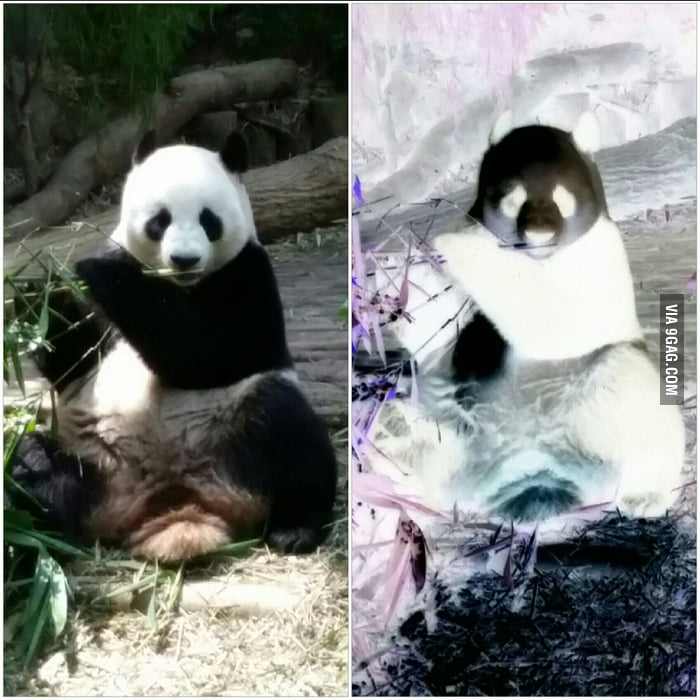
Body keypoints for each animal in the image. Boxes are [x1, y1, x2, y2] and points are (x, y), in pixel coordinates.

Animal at [11, 130, 338, 561]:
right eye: (160, 220)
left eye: (209, 220)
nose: (184, 259)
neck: (178, 285)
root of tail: (173, 496)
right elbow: (74, 360)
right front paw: (35, 295)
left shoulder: (247, 274)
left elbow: (210, 354)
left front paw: (99, 270)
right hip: (89, 452)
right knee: (42, 465)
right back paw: (32, 510)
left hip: (236, 426)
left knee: (290, 430)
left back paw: (296, 528)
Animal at [370, 112, 685, 524]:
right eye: (513, 197)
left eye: (562, 197)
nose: (540, 233)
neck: (536, 258)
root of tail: (534, 477)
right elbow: (439, 325)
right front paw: (393, 267)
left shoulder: (597, 259)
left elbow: (550, 314)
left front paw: (452, 246)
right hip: (449, 421)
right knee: (401, 430)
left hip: (600, 401)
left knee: (635, 394)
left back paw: (643, 496)